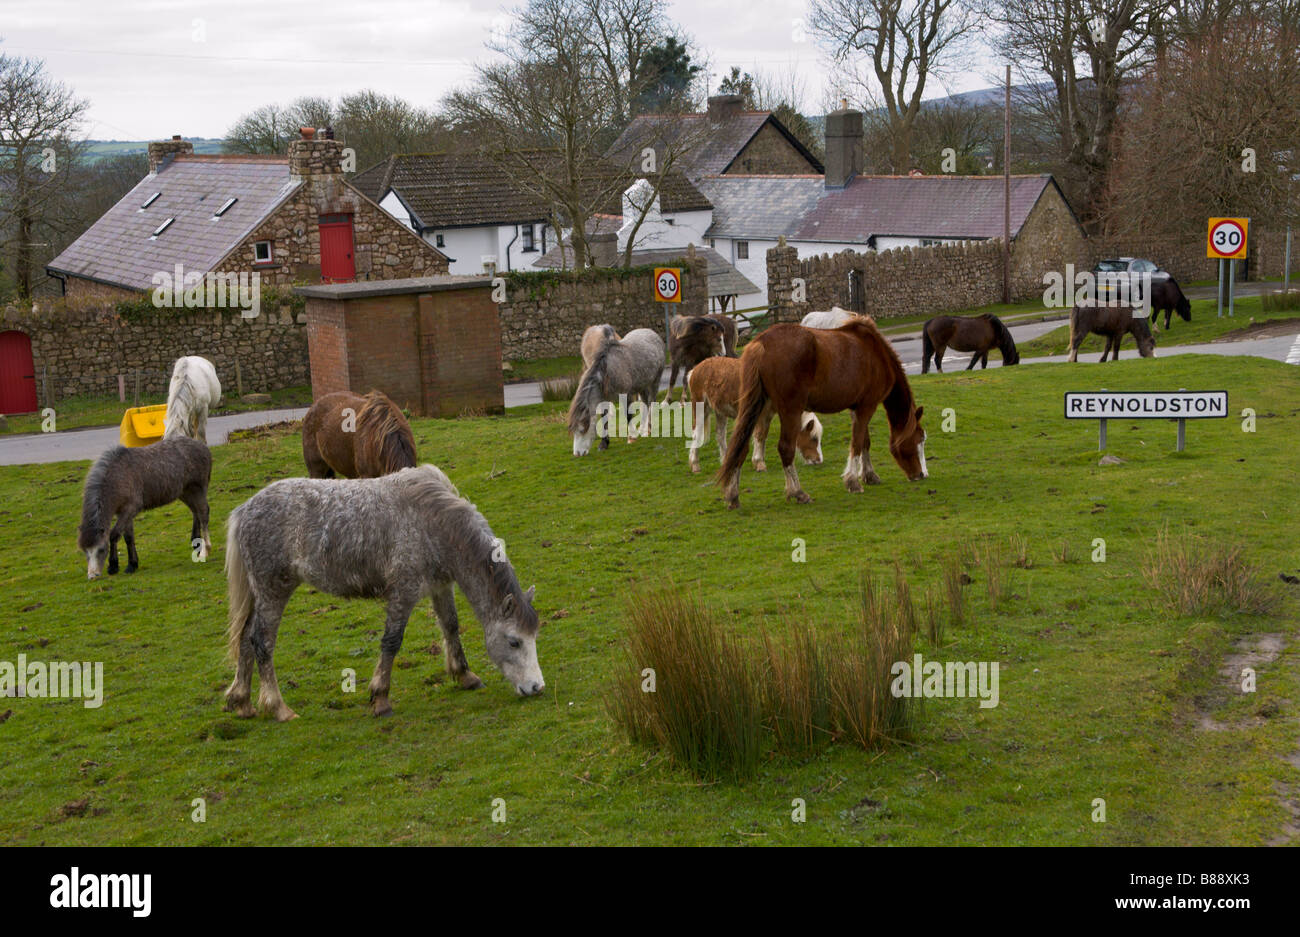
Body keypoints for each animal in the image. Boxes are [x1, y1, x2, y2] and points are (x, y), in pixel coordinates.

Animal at [77, 437, 212, 579]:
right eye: (85, 551)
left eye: (101, 549)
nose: (92, 576)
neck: (117, 476)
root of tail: (202, 446)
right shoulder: (124, 511)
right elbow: (128, 537)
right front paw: (132, 564)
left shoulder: (131, 508)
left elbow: (114, 535)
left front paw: (113, 566)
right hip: (185, 492)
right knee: (195, 511)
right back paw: (196, 542)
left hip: (199, 489)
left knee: (203, 513)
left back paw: (205, 550)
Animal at [224, 465, 544, 721]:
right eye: (514, 641)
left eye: (533, 637)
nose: (536, 687)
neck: (432, 522)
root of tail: (245, 509)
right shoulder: (404, 591)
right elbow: (392, 641)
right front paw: (380, 699)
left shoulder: (441, 586)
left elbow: (451, 627)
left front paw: (465, 675)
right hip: (273, 590)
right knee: (261, 642)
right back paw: (278, 708)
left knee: (245, 639)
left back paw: (242, 702)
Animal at [687, 356, 823, 474]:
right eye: (813, 438)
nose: (819, 461)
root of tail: (694, 370)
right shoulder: (760, 415)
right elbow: (759, 436)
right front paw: (759, 463)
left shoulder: (768, 415)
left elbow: (763, 437)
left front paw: (759, 461)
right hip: (701, 408)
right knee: (696, 434)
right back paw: (695, 466)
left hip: (720, 411)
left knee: (720, 435)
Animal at [718, 319, 927, 508]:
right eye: (919, 440)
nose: (921, 475)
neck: (876, 353)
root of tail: (760, 342)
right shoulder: (867, 406)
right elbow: (857, 443)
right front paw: (853, 481)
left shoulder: (857, 409)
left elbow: (864, 442)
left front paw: (869, 475)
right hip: (790, 410)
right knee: (785, 448)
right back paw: (798, 492)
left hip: (757, 407)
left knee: (741, 447)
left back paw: (733, 495)